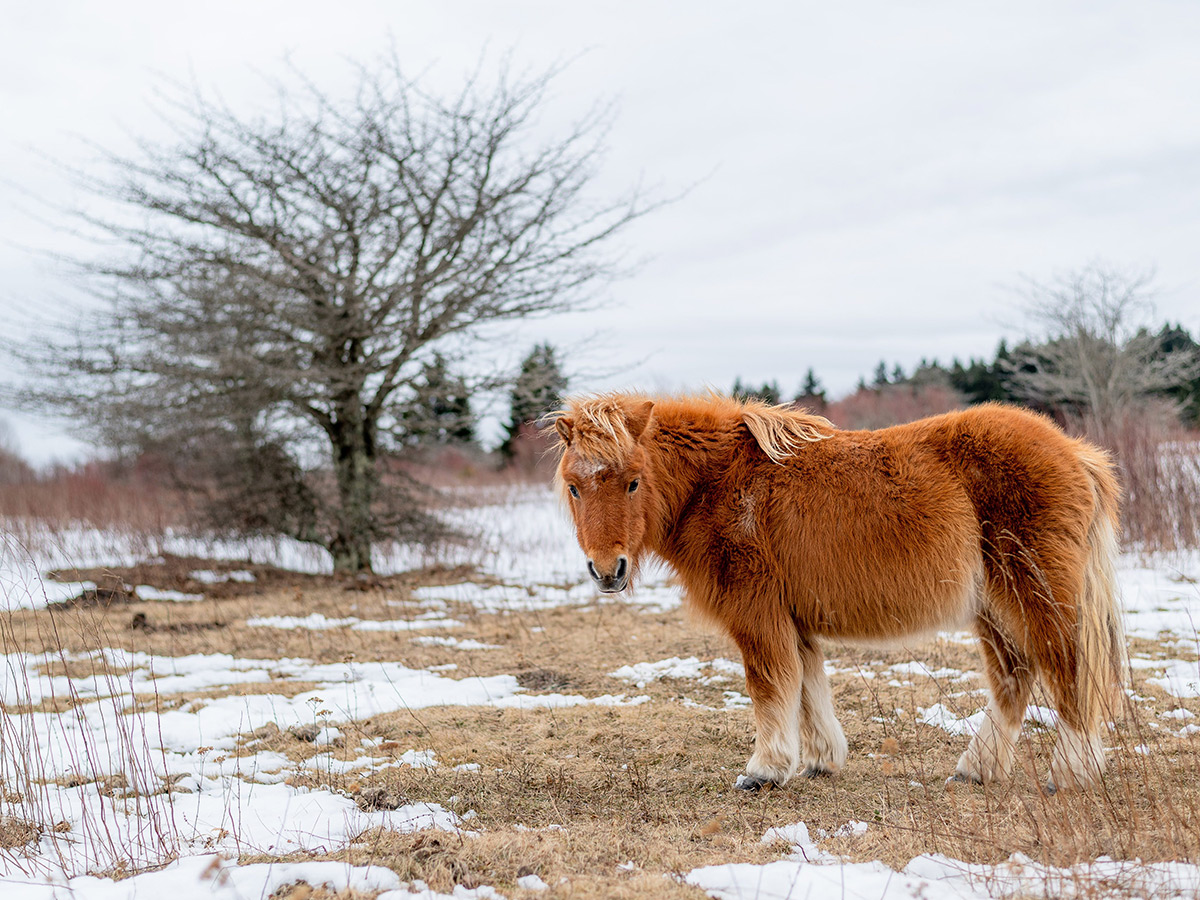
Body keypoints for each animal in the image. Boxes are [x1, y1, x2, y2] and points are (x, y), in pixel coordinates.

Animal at [550, 393, 1125, 793]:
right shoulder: (793, 621)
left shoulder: (757, 617)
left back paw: (1071, 772)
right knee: (1014, 675)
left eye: (632, 482)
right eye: (575, 487)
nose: (608, 570)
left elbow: (770, 687)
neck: (718, 485)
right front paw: (821, 761)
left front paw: (764, 771)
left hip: (1035, 594)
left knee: (1067, 668)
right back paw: (976, 769)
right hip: (995, 607)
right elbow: (807, 687)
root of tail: (1075, 453)